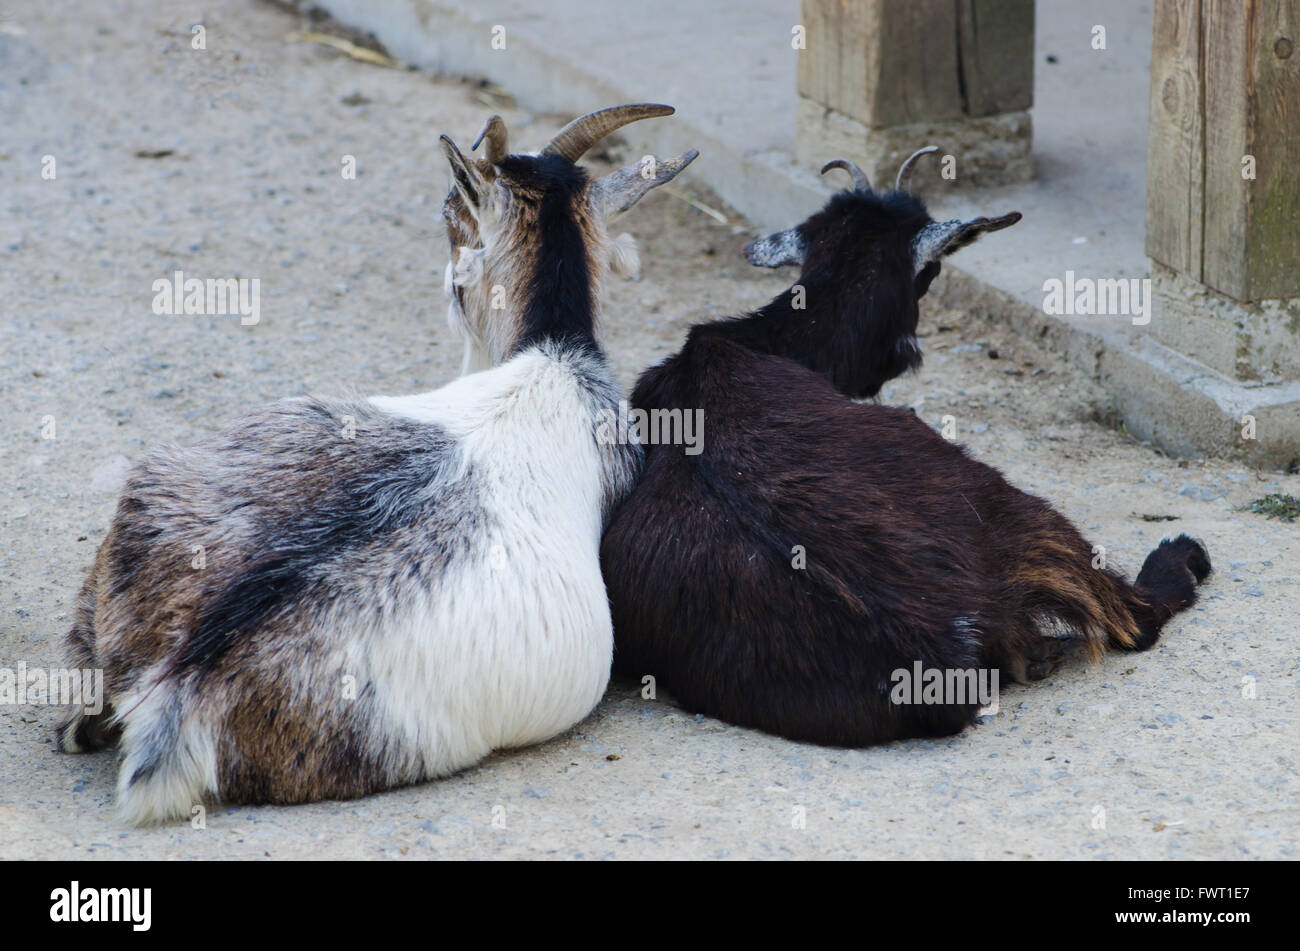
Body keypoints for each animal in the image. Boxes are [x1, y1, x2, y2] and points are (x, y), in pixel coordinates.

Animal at [600, 154, 1211, 747]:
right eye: (930, 271)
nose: (889, 366)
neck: (761, 342)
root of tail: (931, 650)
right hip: (1014, 506)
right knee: (1139, 615)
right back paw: (1183, 555)